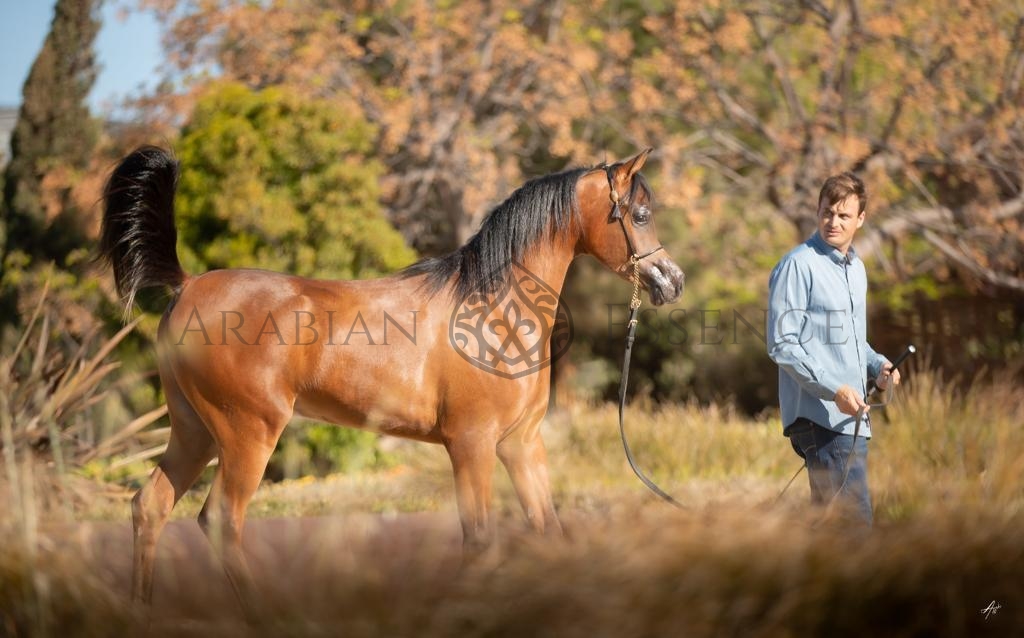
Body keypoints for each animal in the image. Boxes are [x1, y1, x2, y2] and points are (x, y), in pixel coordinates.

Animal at [99, 145, 684, 608]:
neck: (493, 312)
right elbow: (479, 539)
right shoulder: (471, 445)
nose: (671, 280)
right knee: (221, 520)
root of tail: (187, 285)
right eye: (640, 213)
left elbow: (549, 530)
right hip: (247, 434)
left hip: (193, 431)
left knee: (150, 507)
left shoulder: (521, 444)